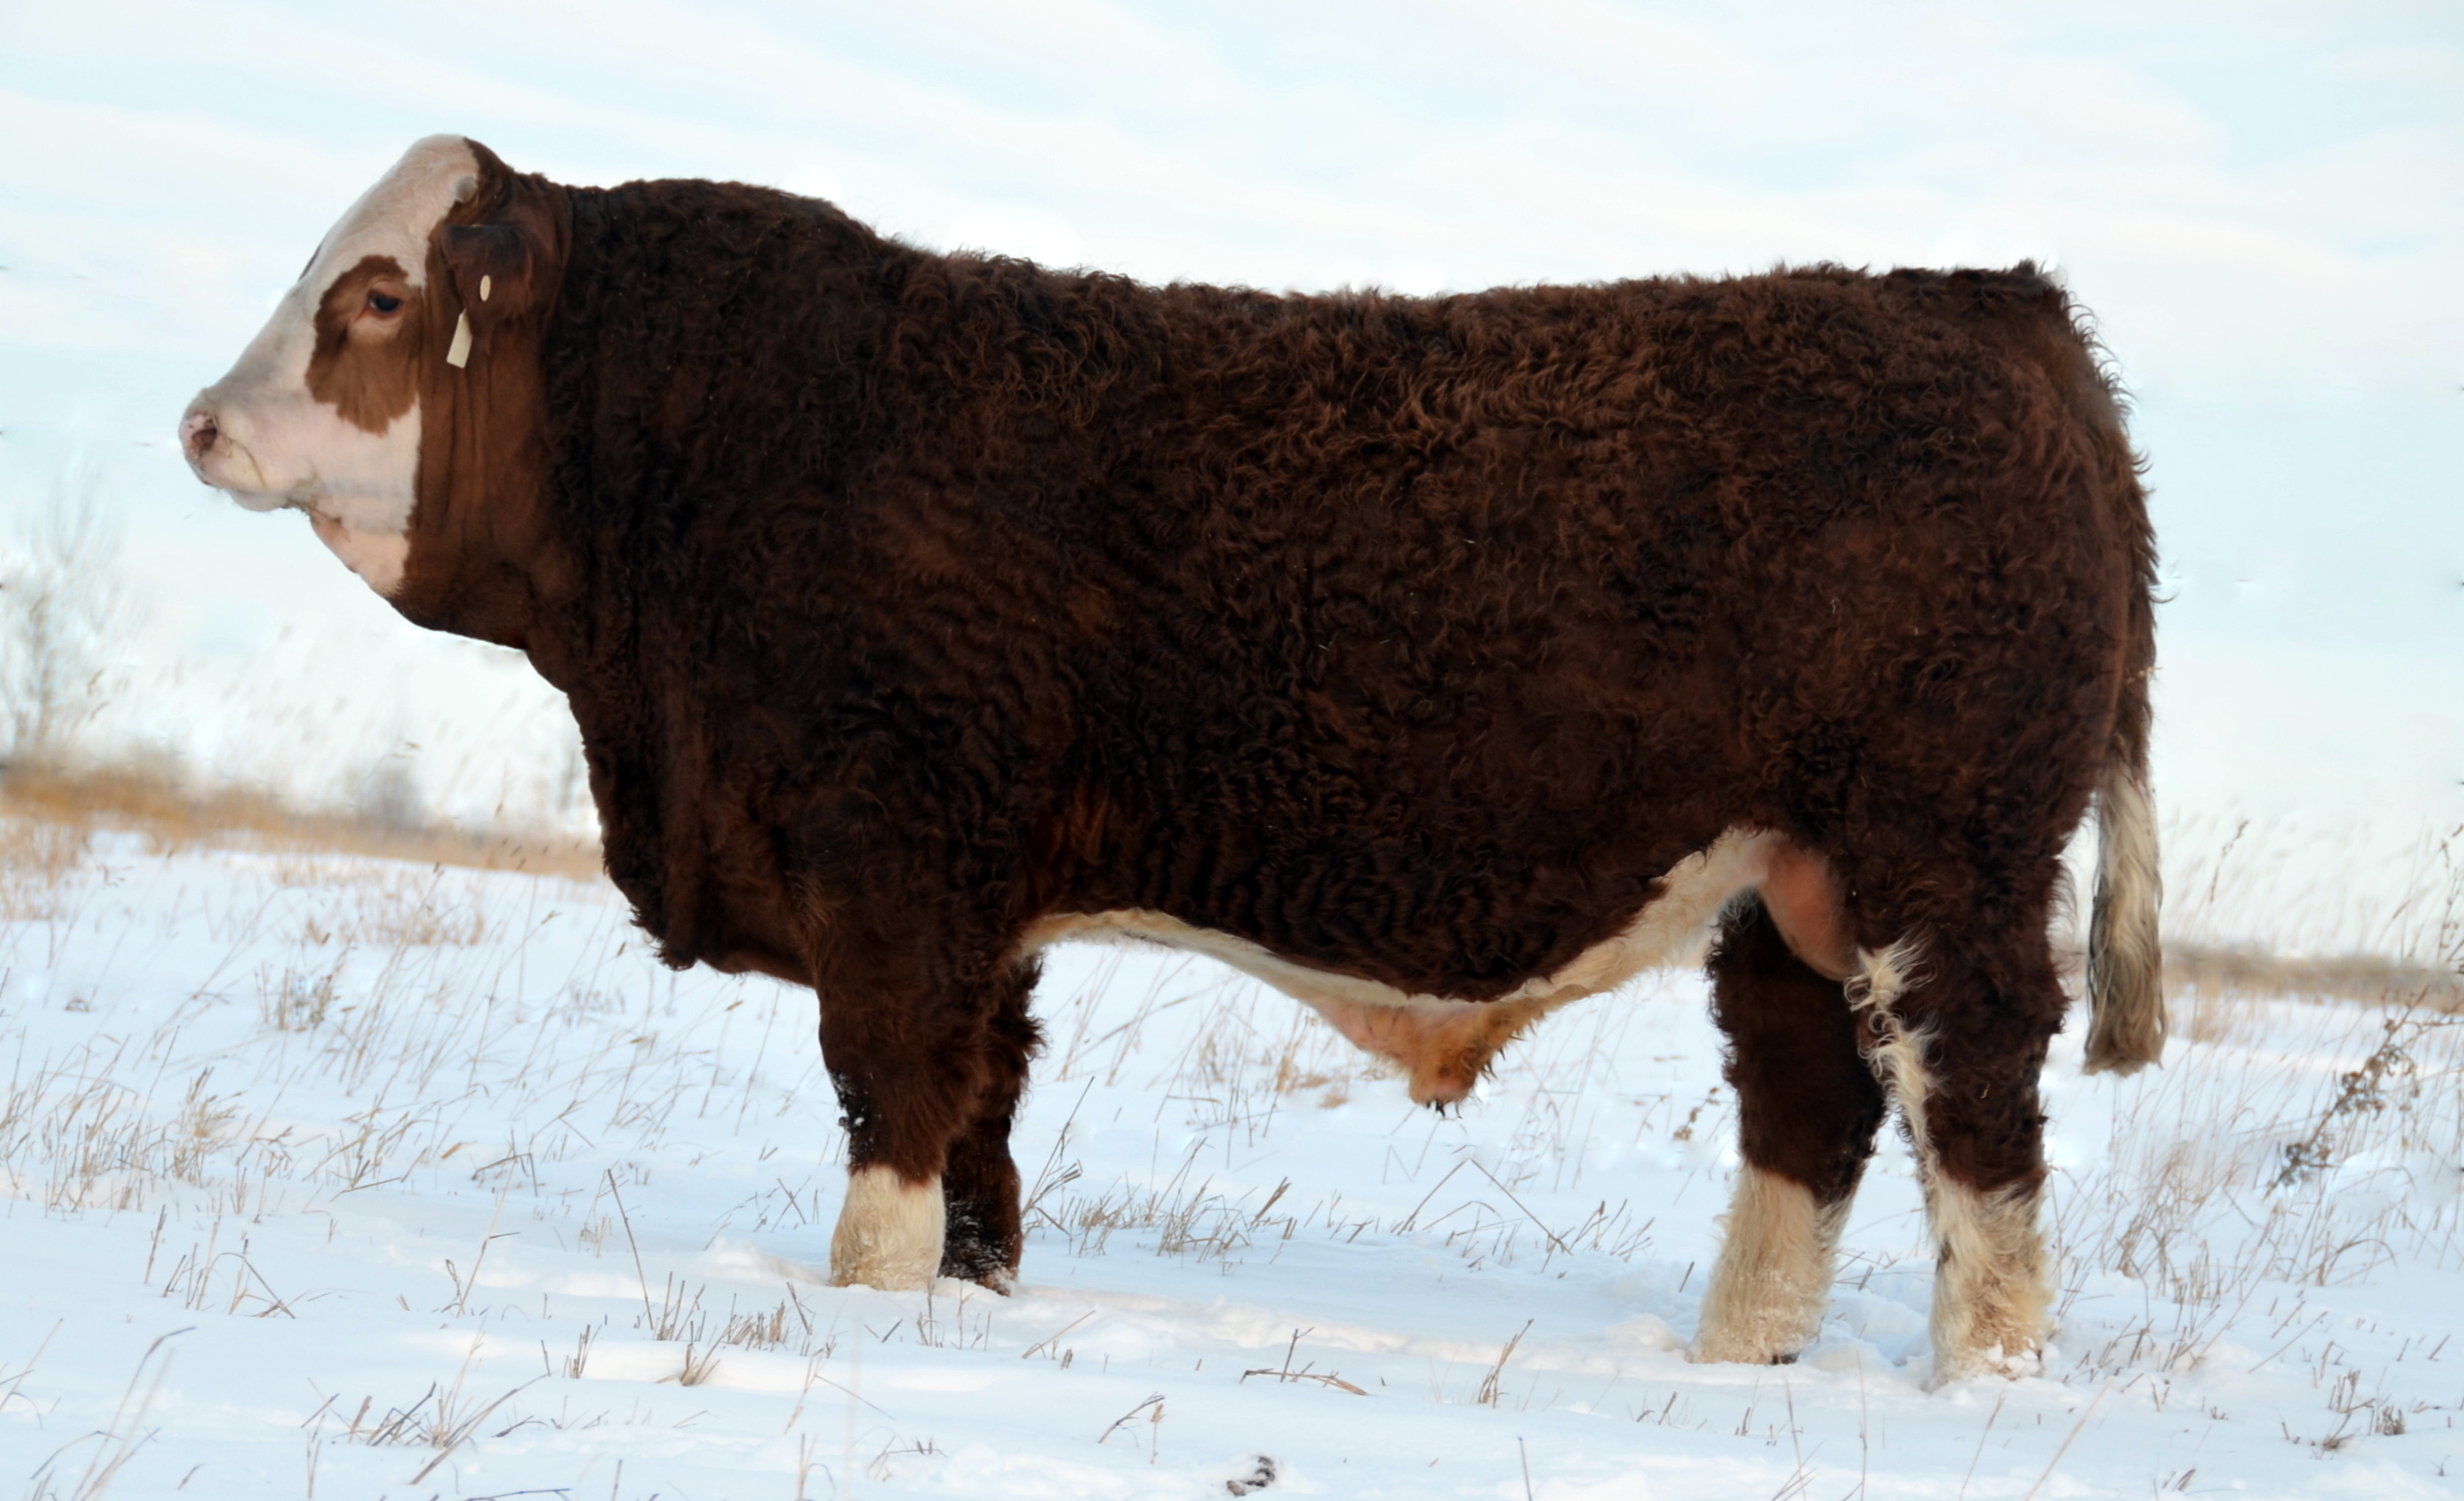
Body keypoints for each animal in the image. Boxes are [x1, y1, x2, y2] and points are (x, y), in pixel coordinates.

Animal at [183, 136, 2163, 1384]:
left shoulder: (895, 872)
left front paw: (864, 1310)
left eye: (374, 298)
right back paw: (1737, 1363)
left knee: (1976, 1114)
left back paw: (1975, 1379)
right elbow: (979, 1131)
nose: (202, 421)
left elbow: (892, 1114)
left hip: (1944, 859)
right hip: (1786, 882)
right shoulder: (982, 905)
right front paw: (961, 1311)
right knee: (1807, 1102)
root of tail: (1992, 301)